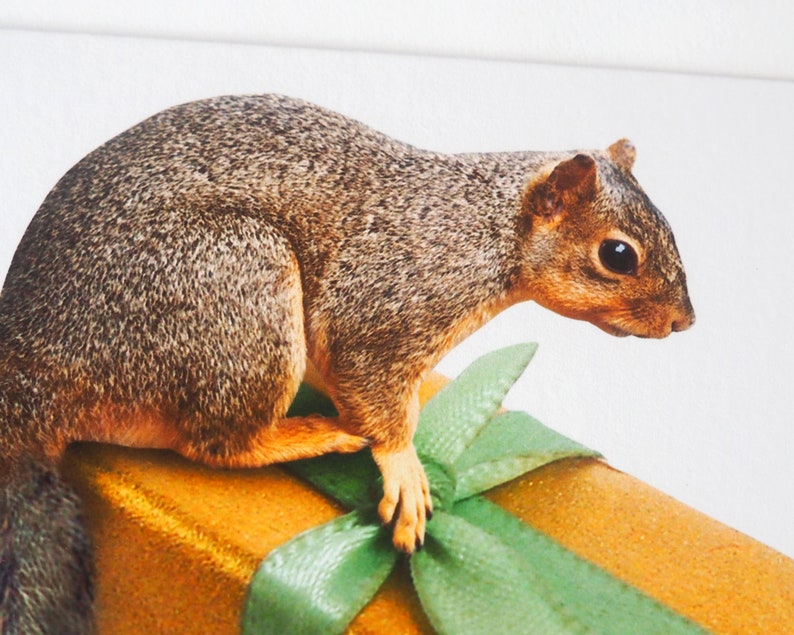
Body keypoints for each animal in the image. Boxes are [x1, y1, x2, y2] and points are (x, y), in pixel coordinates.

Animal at [0, 94, 694, 633]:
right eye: (617, 254)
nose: (685, 322)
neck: (482, 231)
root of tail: (34, 378)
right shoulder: (385, 306)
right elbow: (374, 393)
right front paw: (406, 465)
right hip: (236, 298)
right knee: (216, 444)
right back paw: (307, 434)